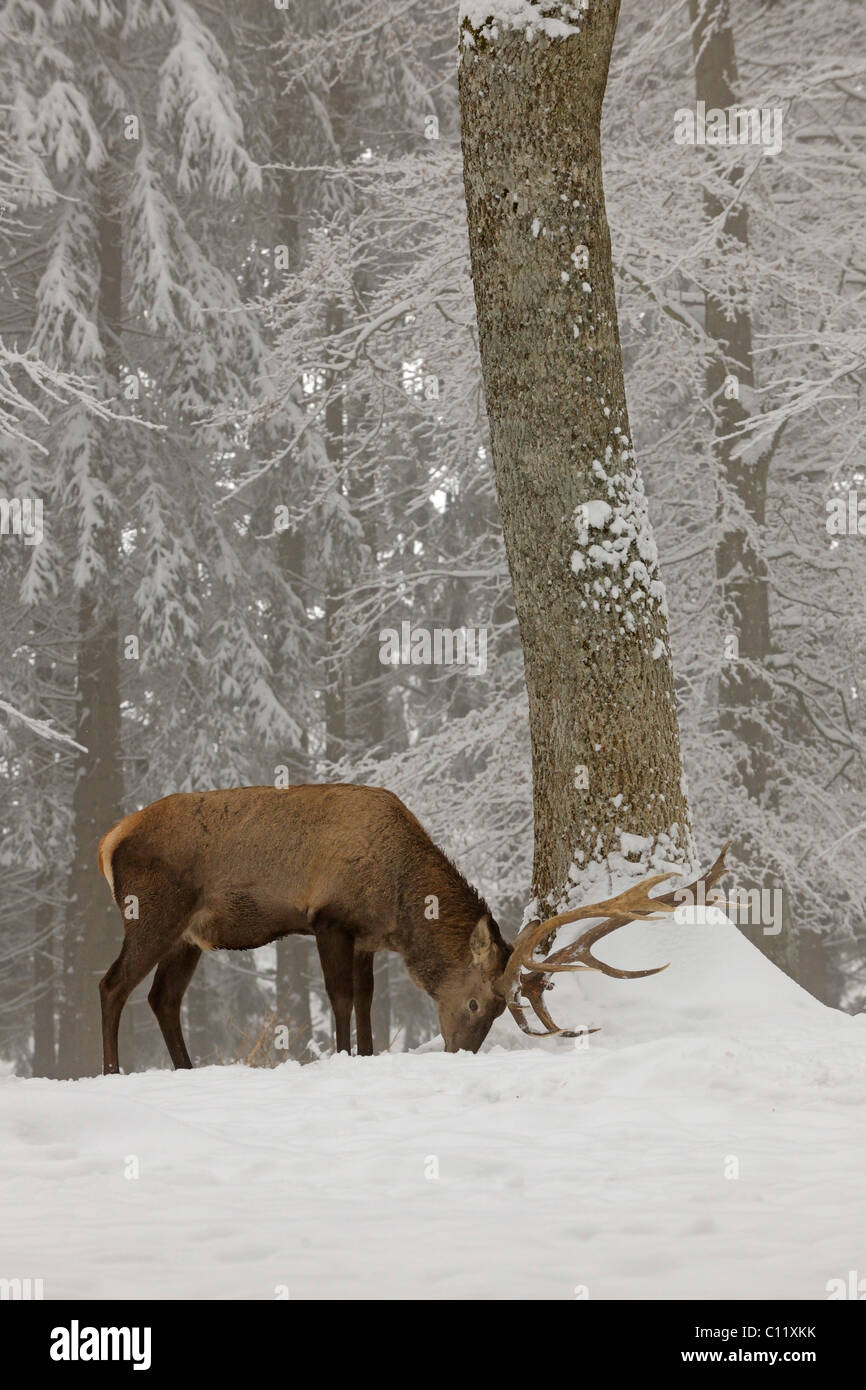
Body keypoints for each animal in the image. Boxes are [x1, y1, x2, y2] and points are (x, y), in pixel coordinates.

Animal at [96, 782, 728, 1073]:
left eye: (499, 1014)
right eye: (476, 1004)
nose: (461, 1054)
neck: (397, 898)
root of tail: (109, 841)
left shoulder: (367, 938)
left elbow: (368, 1000)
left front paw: (367, 1054)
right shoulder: (329, 919)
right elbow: (341, 998)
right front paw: (344, 1057)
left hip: (188, 935)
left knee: (162, 997)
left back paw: (184, 1070)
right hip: (151, 912)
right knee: (112, 985)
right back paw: (111, 1071)